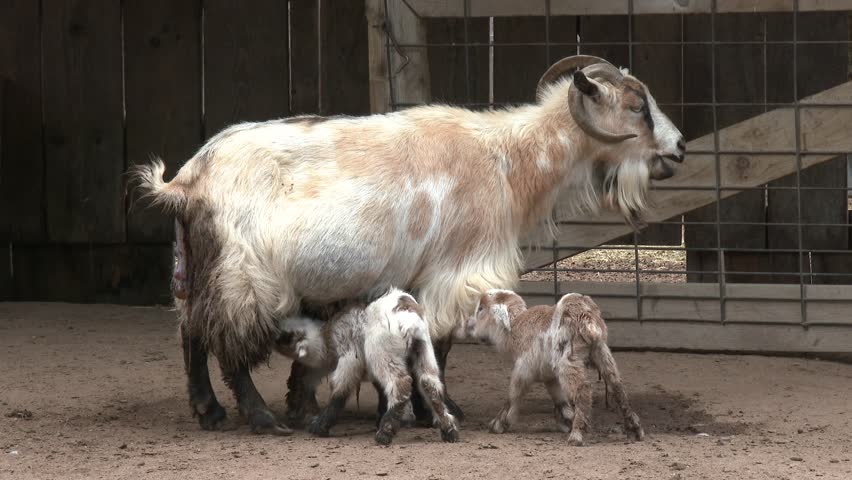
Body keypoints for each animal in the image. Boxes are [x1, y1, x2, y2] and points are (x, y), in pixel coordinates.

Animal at [274, 289, 460, 445]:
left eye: (286, 336)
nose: (272, 336)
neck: (326, 340)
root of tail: (408, 319)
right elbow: (380, 389)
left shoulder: (350, 356)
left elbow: (340, 389)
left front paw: (320, 426)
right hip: (424, 350)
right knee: (430, 384)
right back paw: (449, 430)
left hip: (382, 351)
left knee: (400, 384)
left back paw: (385, 432)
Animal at [465, 289, 644, 446]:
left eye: (480, 309)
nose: (468, 325)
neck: (515, 326)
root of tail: (587, 318)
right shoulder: (548, 374)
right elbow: (558, 396)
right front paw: (566, 419)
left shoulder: (523, 368)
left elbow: (513, 395)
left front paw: (498, 423)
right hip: (601, 352)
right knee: (617, 386)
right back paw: (634, 429)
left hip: (568, 360)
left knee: (583, 389)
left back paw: (576, 435)